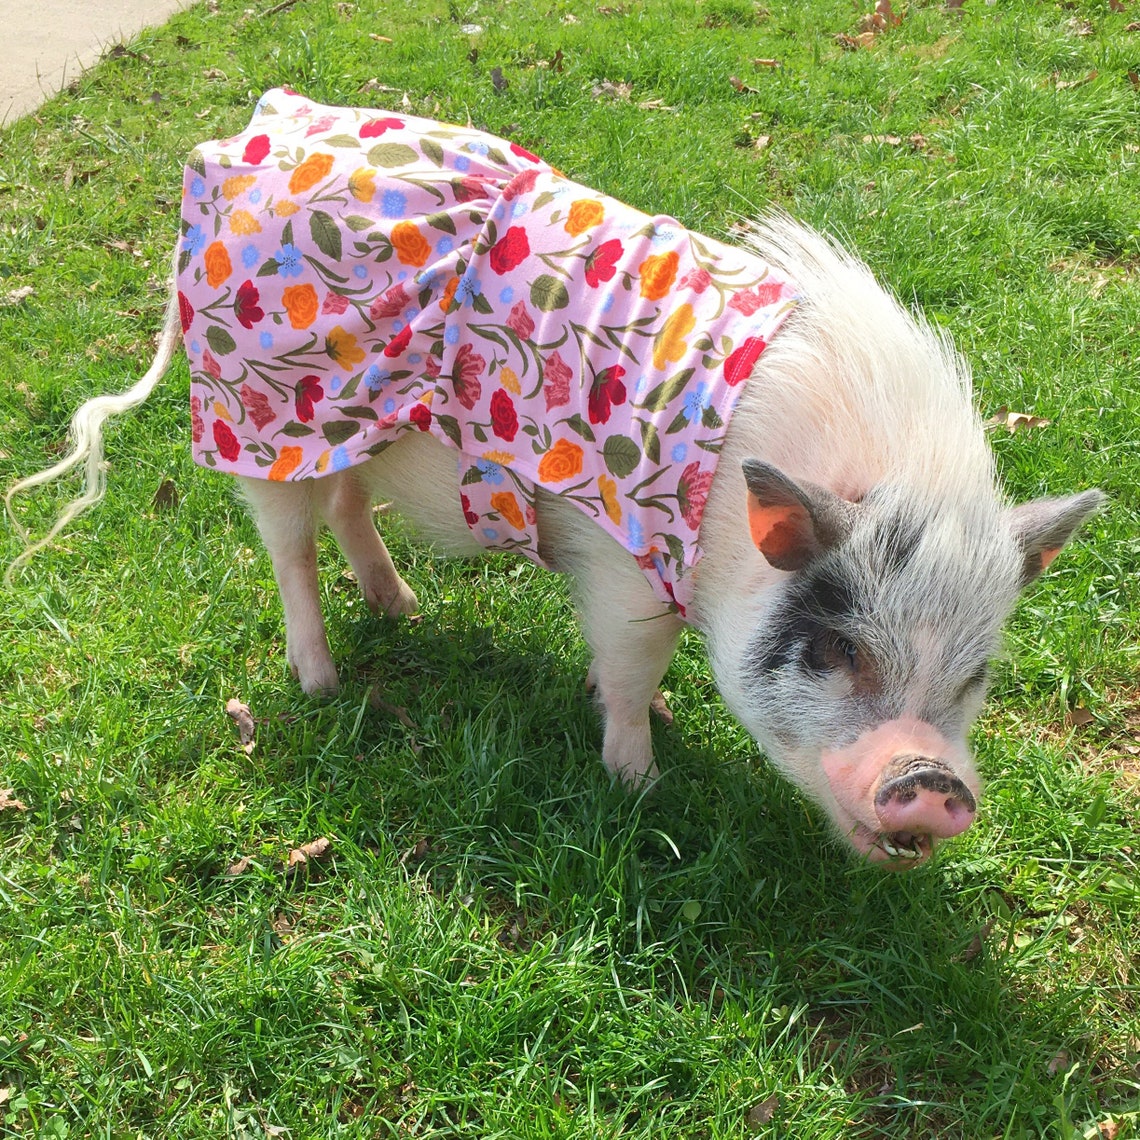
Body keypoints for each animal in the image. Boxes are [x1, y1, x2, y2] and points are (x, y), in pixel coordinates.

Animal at [6, 90, 1103, 866]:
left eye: (975, 676)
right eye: (834, 650)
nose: (937, 784)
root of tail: (253, 129)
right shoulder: (622, 570)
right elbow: (627, 672)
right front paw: (641, 780)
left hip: (359, 430)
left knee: (352, 509)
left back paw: (400, 608)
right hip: (265, 417)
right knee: (288, 549)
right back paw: (321, 682)